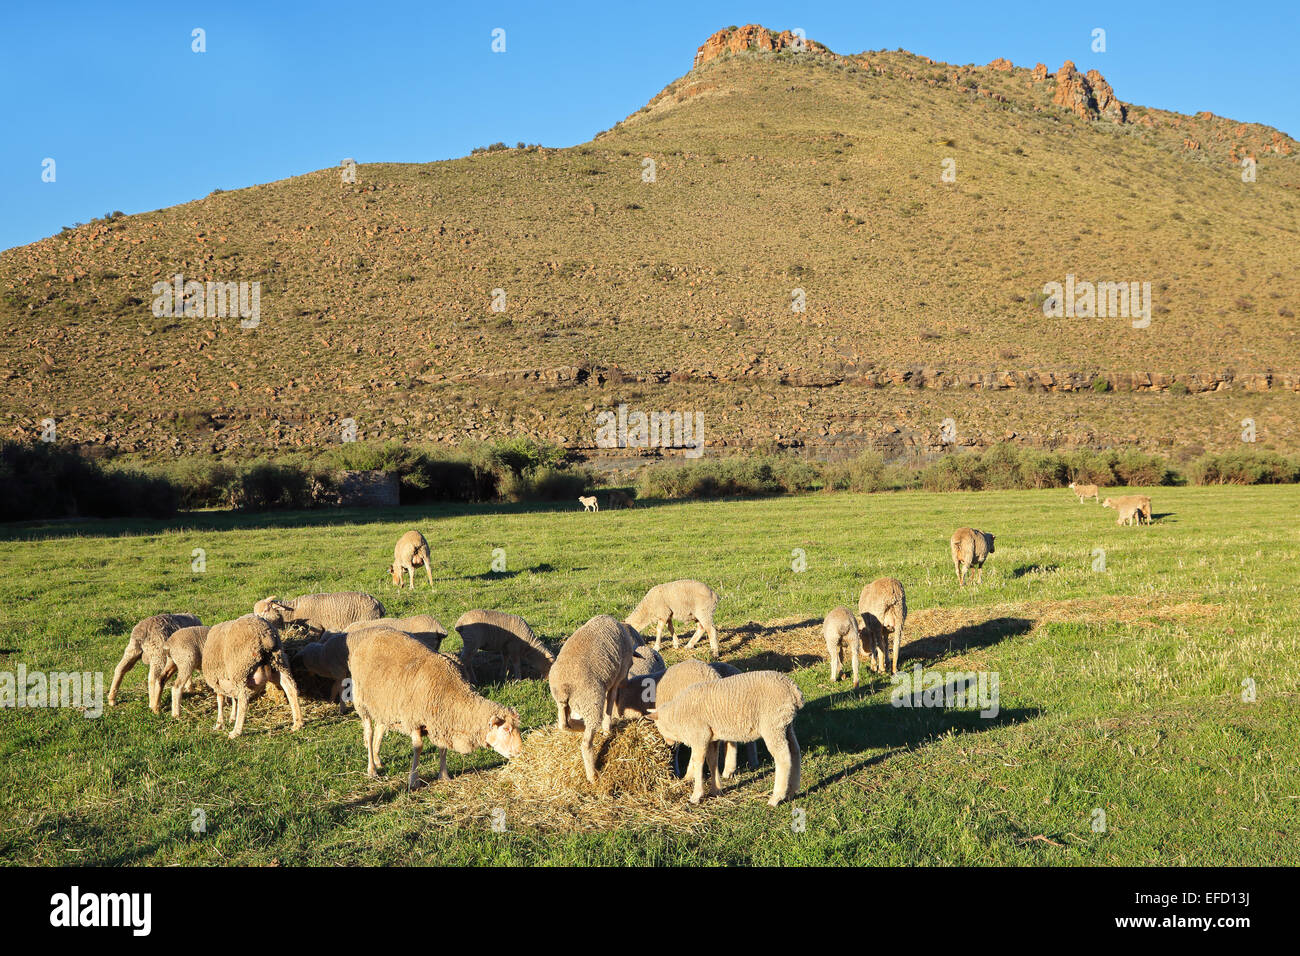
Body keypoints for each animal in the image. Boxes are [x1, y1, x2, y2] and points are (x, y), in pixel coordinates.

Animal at [349, 627, 522, 790]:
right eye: (506, 729)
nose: (521, 752)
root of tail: (375, 635)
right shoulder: (415, 720)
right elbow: (418, 748)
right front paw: (414, 781)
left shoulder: (441, 721)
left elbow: (442, 748)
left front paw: (444, 776)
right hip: (361, 702)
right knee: (369, 733)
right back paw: (372, 769)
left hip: (383, 703)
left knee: (380, 727)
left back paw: (377, 760)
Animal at [548, 614, 639, 783]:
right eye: (631, 664)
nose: (626, 682)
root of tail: (564, 688)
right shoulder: (616, 679)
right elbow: (610, 704)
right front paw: (607, 729)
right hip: (592, 701)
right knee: (586, 743)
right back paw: (592, 775)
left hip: (564, 705)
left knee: (564, 725)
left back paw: (580, 726)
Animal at [650, 670, 803, 806]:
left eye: (659, 727)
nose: (668, 743)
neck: (679, 714)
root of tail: (793, 690)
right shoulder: (712, 738)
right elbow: (712, 761)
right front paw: (716, 789)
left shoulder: (699, 735)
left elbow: (698, 762)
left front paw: (696, 795)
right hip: (786, 724)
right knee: (795, 752)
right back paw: (792, 791)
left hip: (772, 724)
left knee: (783, 758)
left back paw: (776, 797)